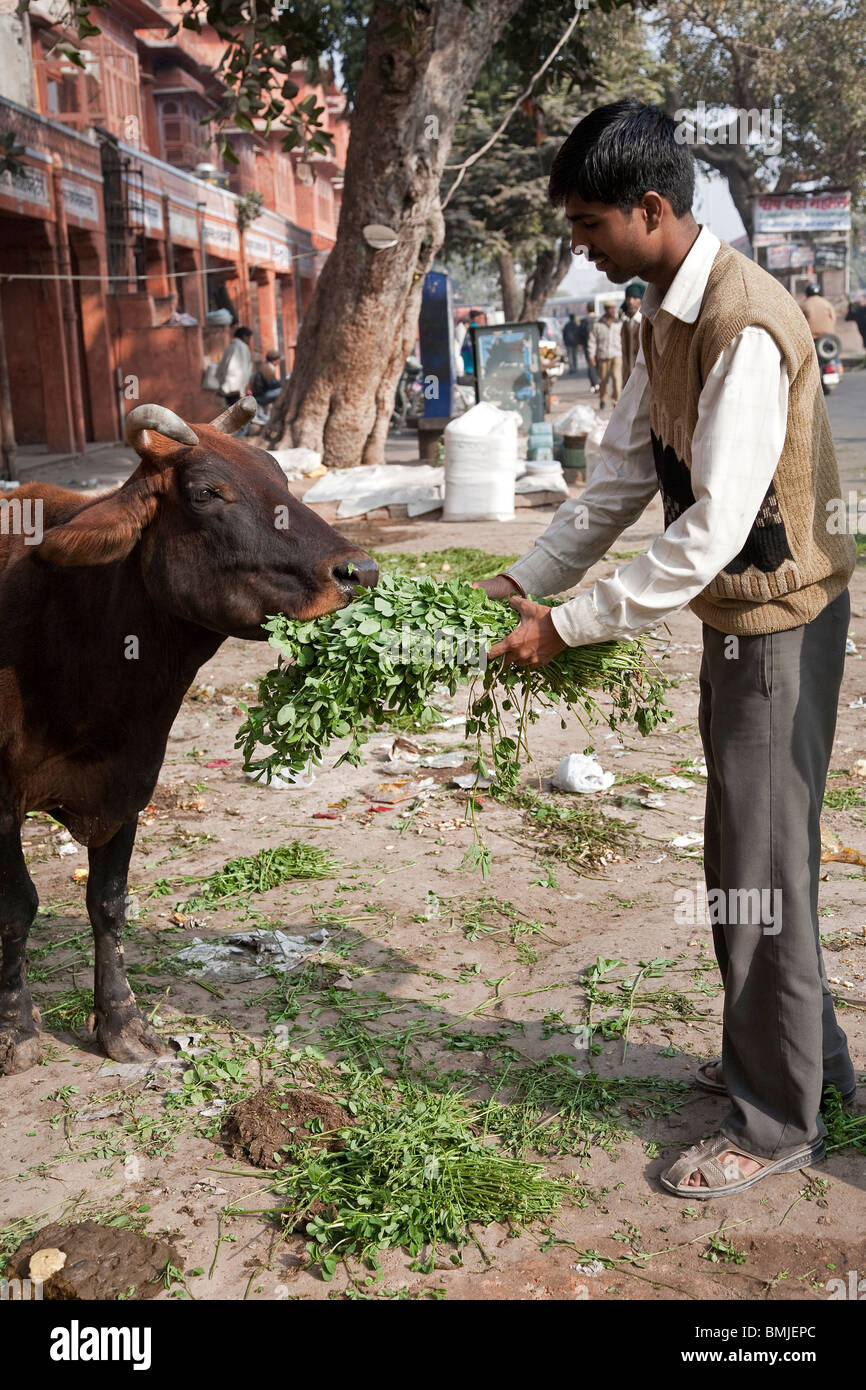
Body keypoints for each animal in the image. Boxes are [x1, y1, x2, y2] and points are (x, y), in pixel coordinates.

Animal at [0, 397, 378, 1075]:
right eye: (206, 493)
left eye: (282, 480)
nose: (360, 571)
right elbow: (19, 906)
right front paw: (15, 1027)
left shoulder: (128, 789)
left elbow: (108, 902)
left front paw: (122, 1023)